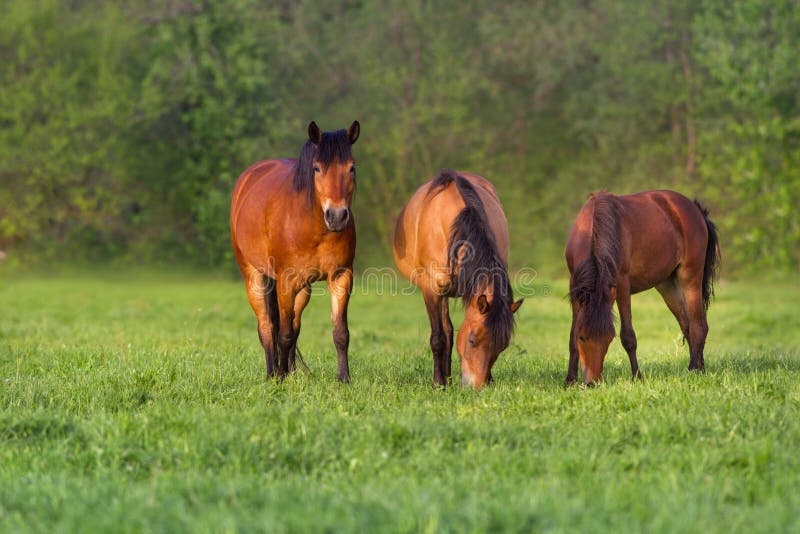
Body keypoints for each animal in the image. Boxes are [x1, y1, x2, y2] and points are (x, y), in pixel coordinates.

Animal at [230, 120, 360, 382]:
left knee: (295, 324)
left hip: (304, 289)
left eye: (351, 168)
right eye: (317, 168)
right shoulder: (285, 282)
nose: (337, 216)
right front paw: (279, 378)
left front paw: (344, 379)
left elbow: (340, 333)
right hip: (254, 277)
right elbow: (284, 334)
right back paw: (272, 373)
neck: (316, 228)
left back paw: (289, 370)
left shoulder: (341, 277)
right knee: (267, 326)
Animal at [394, 170, 523, 388]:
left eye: (502, 346)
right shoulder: (432, 290)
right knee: (446, 332)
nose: (477, 386)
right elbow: (438, 337)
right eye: (472, 341)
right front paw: (438, 383)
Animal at [565, 190, 720, 385]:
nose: (593, 383)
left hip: (690, 277)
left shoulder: (622, 284)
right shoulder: (575, 287)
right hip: (668, 285)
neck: (593, 228)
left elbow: (628, 336)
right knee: (687, 325)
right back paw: (701, 369)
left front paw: (637, 377)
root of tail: (695, 209)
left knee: (698, 325)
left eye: (609, 339)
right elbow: (571, 338)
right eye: (582, 337)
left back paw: (693, 370)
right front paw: (569, 380)